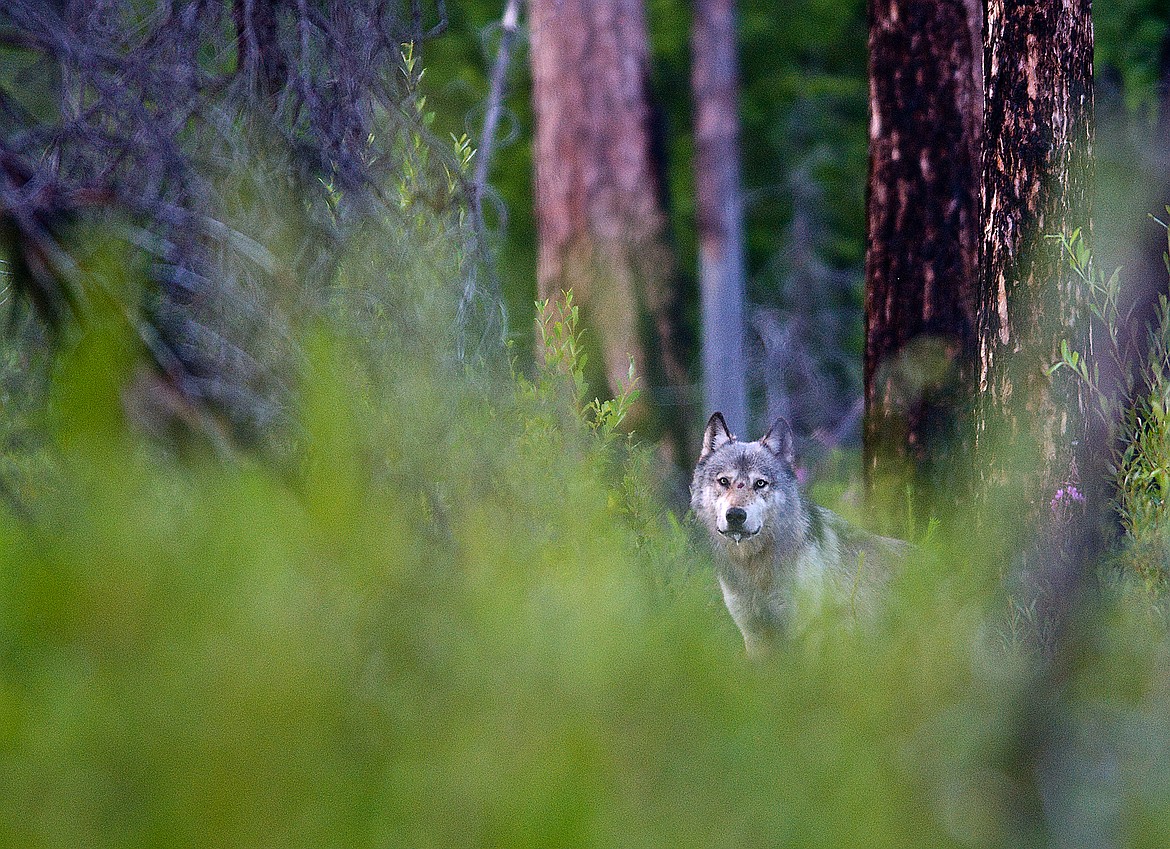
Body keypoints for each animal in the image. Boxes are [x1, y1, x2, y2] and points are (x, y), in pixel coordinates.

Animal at [690, 412, 907, 653]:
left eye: (760, 483)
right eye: (724, 481)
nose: (736, 515)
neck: (754, 568)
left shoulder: (807, 632)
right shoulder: (754, 636)